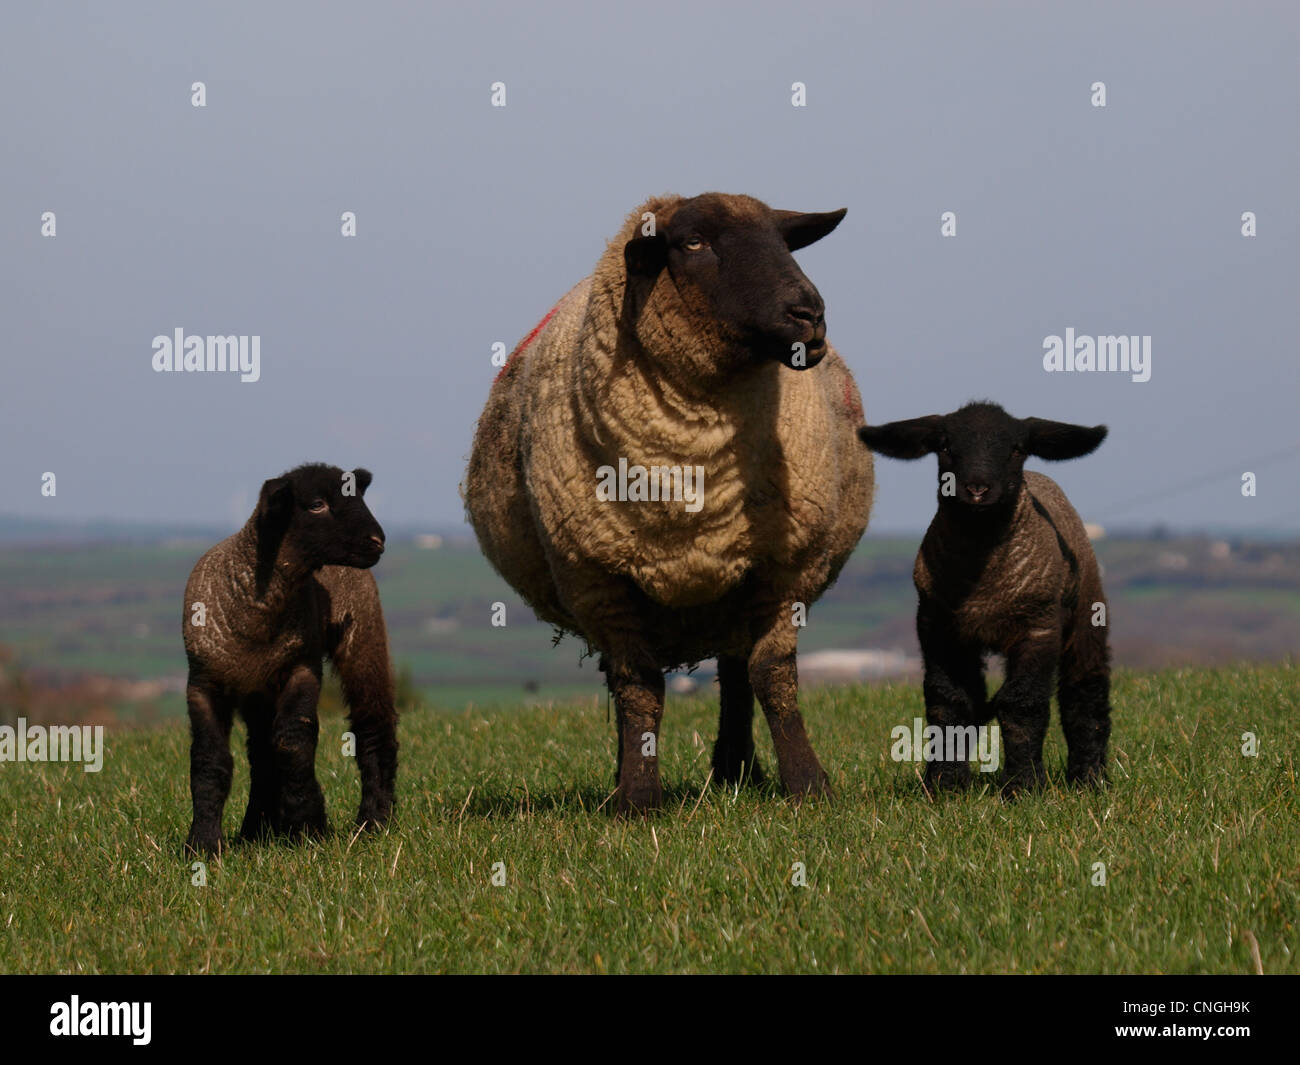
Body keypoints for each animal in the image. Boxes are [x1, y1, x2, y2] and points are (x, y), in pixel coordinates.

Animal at [182, 463, 398, 855]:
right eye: (316, 504)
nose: (377, 541)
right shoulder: (204, 682)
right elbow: (208, 759)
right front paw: (204, 843)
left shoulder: (300, 668)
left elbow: (293, 742)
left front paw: (308, 825)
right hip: (257, 690)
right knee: (261, 755)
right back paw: (256, 830)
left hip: (363, 629)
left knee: (373, 722)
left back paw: (374, 821)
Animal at [464, 192, 873, 812]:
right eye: (693, 242)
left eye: (784, 240)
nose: (809, 314)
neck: (691, 454)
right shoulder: (600, 581)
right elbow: (640, 687)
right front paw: (636, 798)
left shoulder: (784, 566)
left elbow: (773, 675)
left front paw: (807, 785)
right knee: (627, 683)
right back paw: (631, 777)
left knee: (735, 671)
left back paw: (736, 771)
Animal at [857, 401, 1111, 795]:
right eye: (944, 446)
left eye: (1017, 448)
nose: (977, 489)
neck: (984, 585)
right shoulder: (937, 628)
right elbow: (949, 702)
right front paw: (944, 784)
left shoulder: (1039, 628)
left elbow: (1023, 703)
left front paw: (1024, 786)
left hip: (1087, 609)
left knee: (1085, 690)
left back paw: (1089, 778)